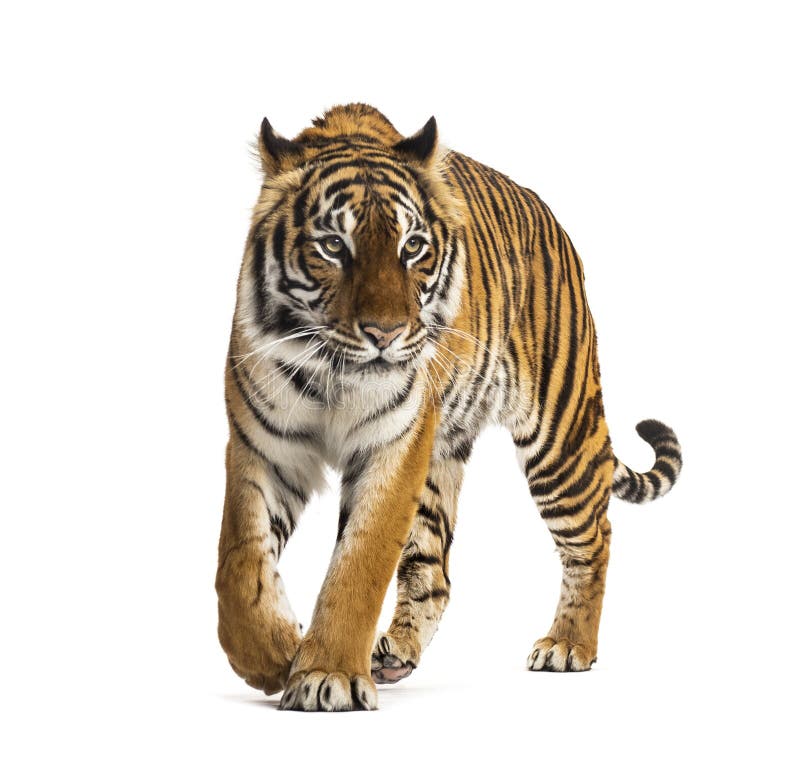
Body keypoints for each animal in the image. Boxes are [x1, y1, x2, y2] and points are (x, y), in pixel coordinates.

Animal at [216, 102, 682, 712]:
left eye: (412, 246)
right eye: (333, 247)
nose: (386, 334)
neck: (336, 374)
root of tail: (552, 219)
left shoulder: (393, 446)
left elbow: (358, 564)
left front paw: (327, 674)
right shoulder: (264, 446)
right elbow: (241, 561)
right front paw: (272, 656)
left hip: (559, 437)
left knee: (594, 538)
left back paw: (568, 644)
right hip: (442, 459)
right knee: (433, 572)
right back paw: (393, 655)